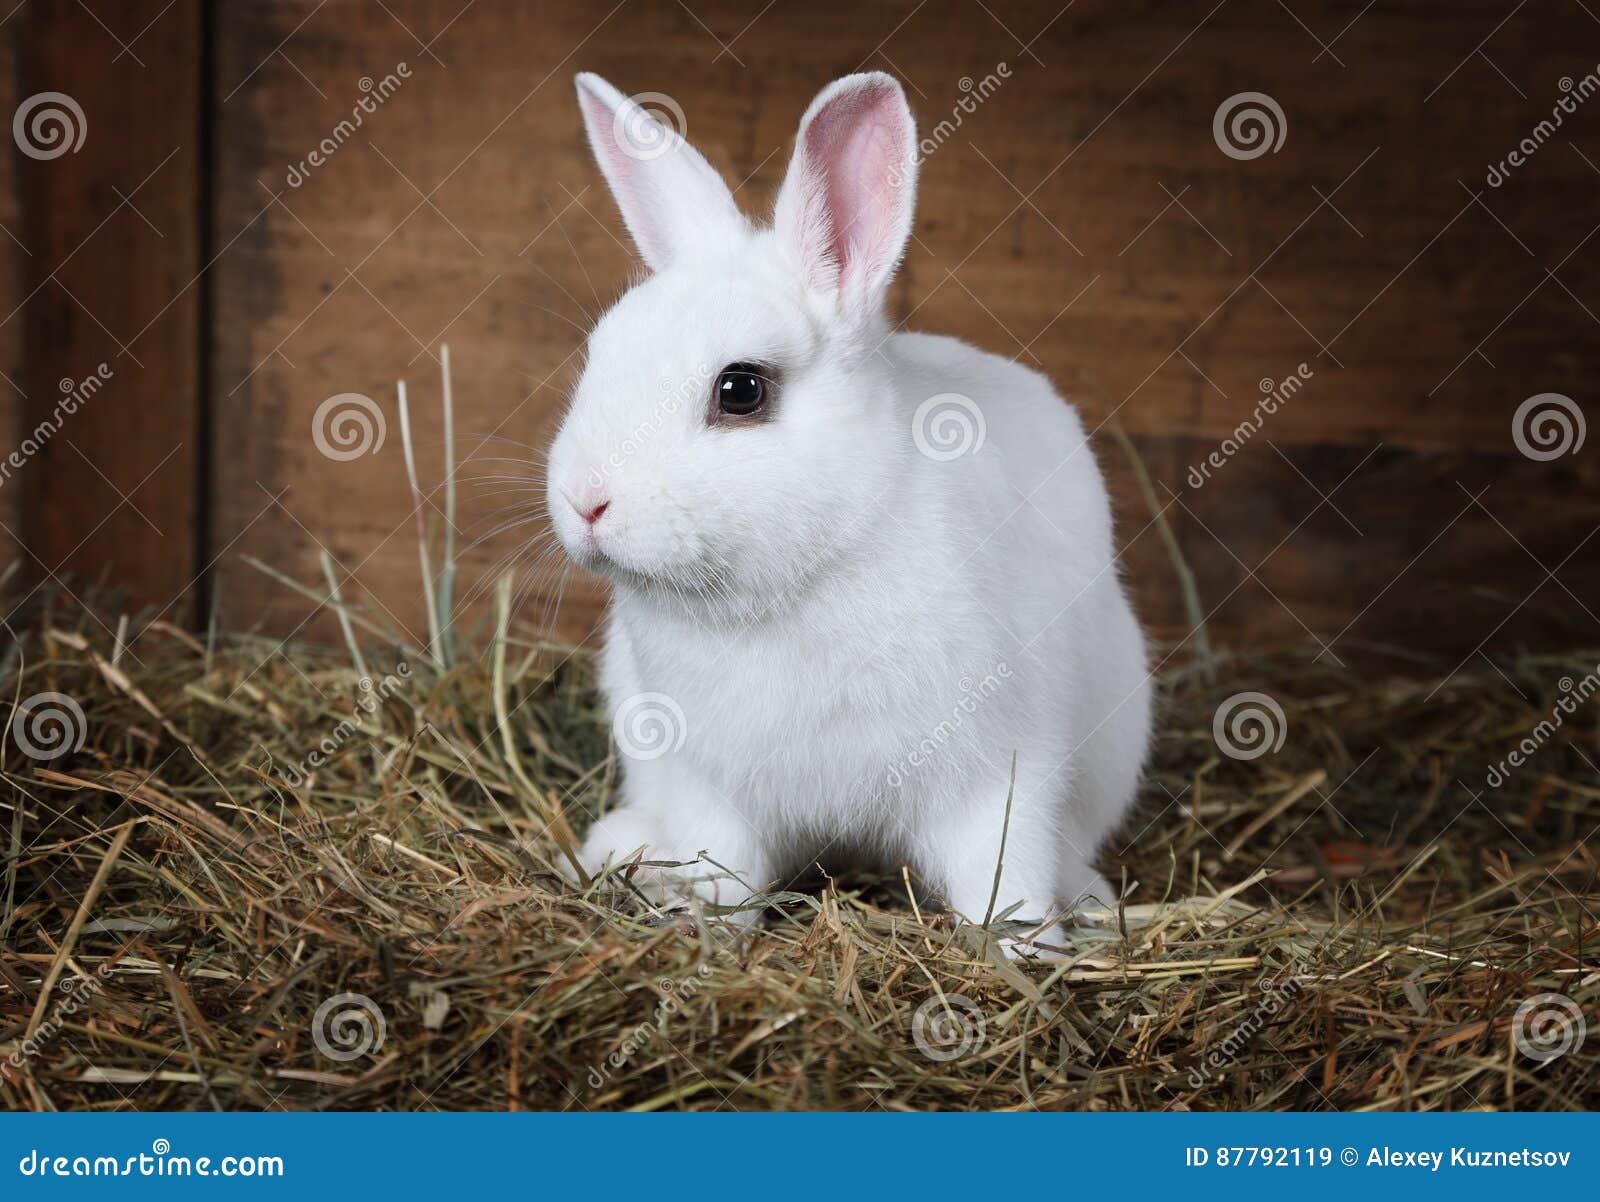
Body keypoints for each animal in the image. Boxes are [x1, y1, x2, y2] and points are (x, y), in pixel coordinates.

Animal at [545, 70, 1153, 956]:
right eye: (599, 353)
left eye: (741, 390)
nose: (586, 500)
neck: (804, 577)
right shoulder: (709, 787)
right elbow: (727, 871)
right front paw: (711, 934)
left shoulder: (1001, 770)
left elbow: (1002, 869)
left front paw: (1024, 951)